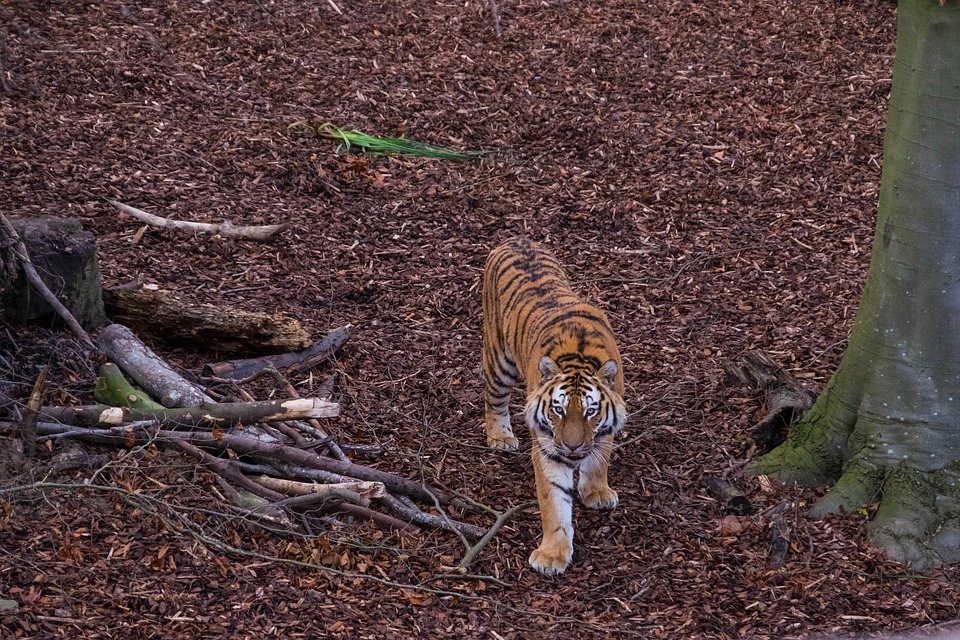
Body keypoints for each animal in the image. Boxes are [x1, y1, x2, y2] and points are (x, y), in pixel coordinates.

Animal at [481, 237, 627, 576]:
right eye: (557, 410)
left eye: (590, 411)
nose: (572, 448)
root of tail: (516, 238)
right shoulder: (548, 446)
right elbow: (554, 501)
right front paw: (551, 555)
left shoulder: (604, 431)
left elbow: (599, 461)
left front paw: (597, 493)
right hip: (498, 358)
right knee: (494, 399)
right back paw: (500, 437)